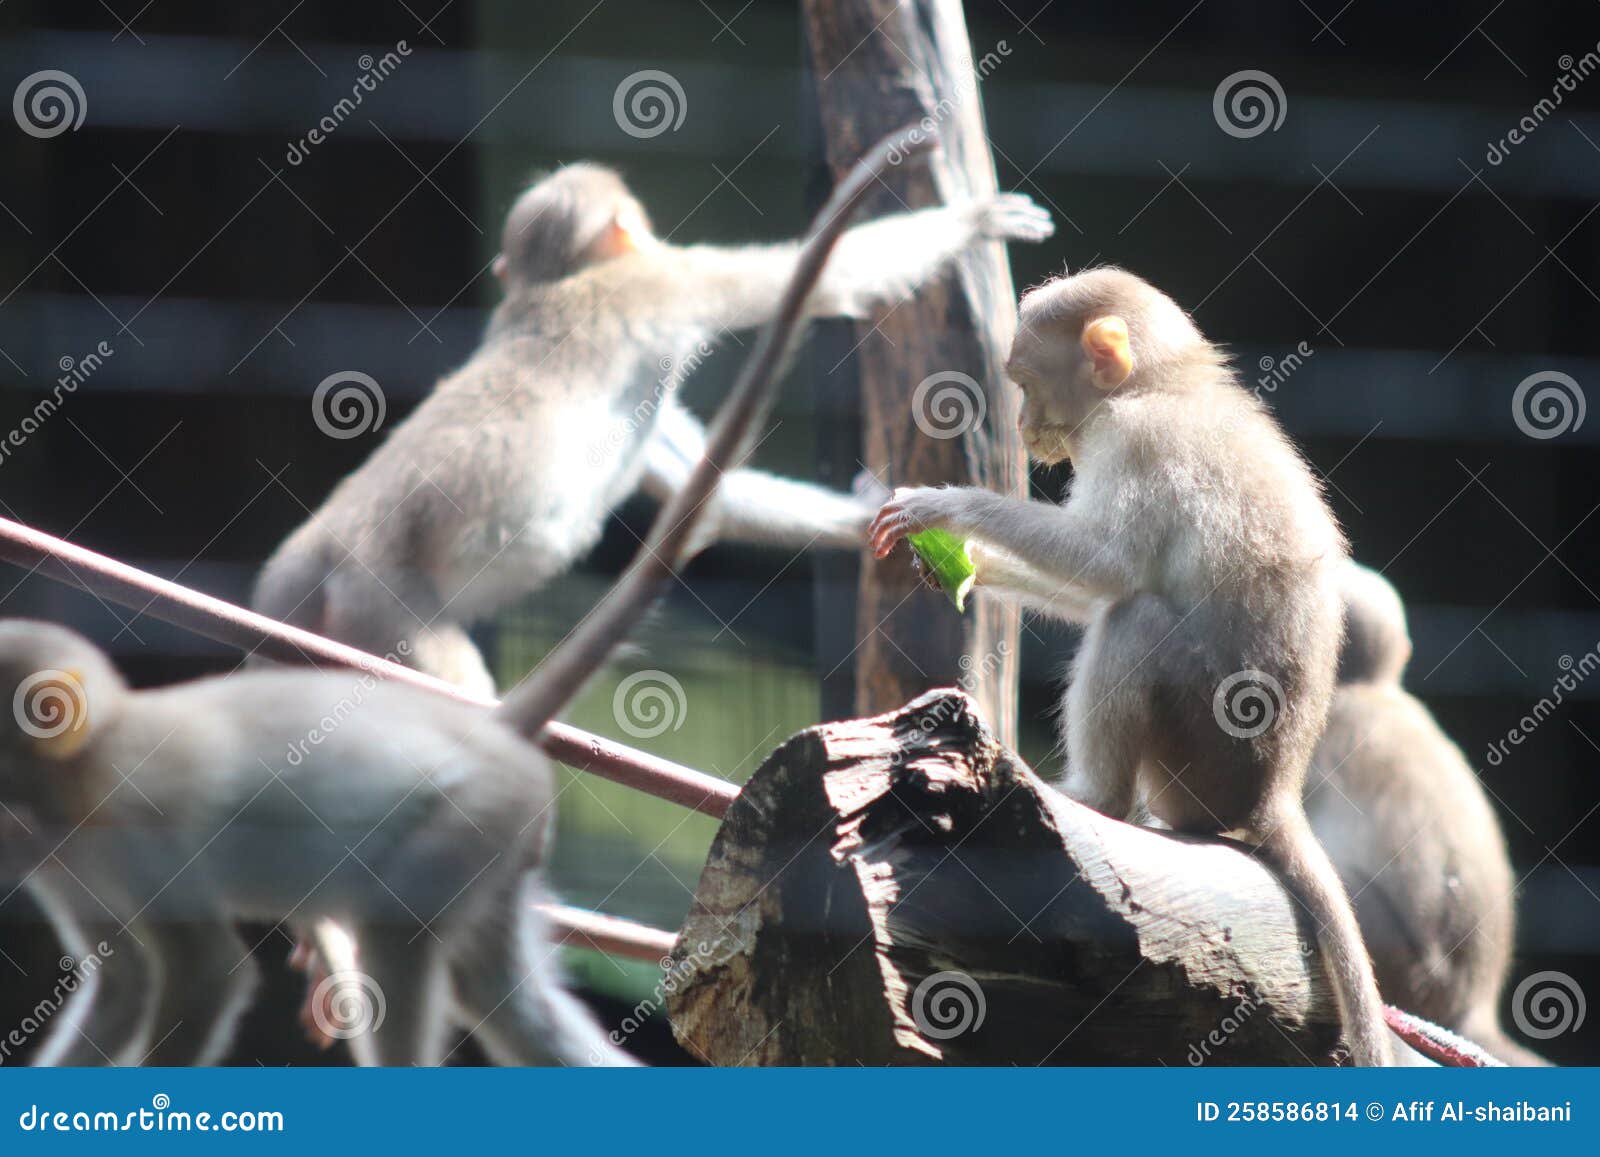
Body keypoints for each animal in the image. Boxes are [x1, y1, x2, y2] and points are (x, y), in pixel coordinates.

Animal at [0, 620, 636, 1067]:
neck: (81, 777)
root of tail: (495, 739)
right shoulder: (59, 863)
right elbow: (125, 985)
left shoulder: (135, 821)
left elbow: (209, 972)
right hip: (505, 839)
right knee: (498, 997)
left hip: (471, 815)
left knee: (398, 940)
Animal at [253, 162, 1054, 697]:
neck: (559, 284)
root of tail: (317, 549)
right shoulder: (662, 286)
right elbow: (811, 277)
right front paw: (974, 220)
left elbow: (706, 492)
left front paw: (875, 517)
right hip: (386, 604)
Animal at [868, 267, 1392, 1065]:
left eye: (1025, 382)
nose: (1025, 427)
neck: (1163, 382)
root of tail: (1272, 793)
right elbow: (1094, 583)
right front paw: (968, 564)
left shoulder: (1133, 439)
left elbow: (1109, 568)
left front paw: (950, 510)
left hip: (1197, 760)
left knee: (1136, 618)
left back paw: (1097, 796)